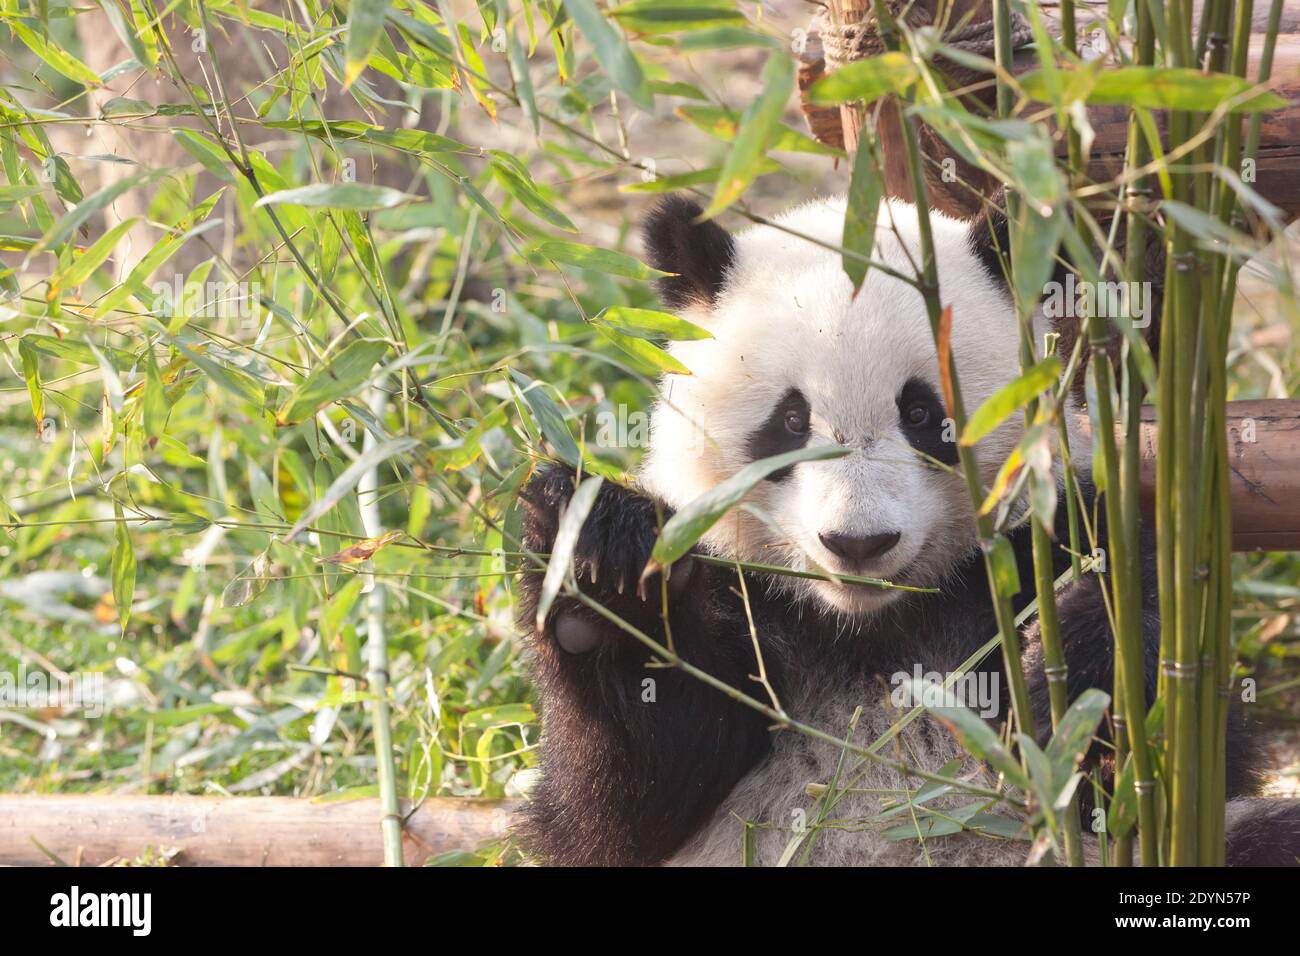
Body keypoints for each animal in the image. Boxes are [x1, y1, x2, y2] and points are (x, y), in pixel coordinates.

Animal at [514, 194, 1299, 867]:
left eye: (922, 413)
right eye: (791, 421)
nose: (858, 543)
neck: (872, 624)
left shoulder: (1058, 533)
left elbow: (1164, 744)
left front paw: (1071, 669)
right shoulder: (748, 602)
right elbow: (621, 805)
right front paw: (605, 569)